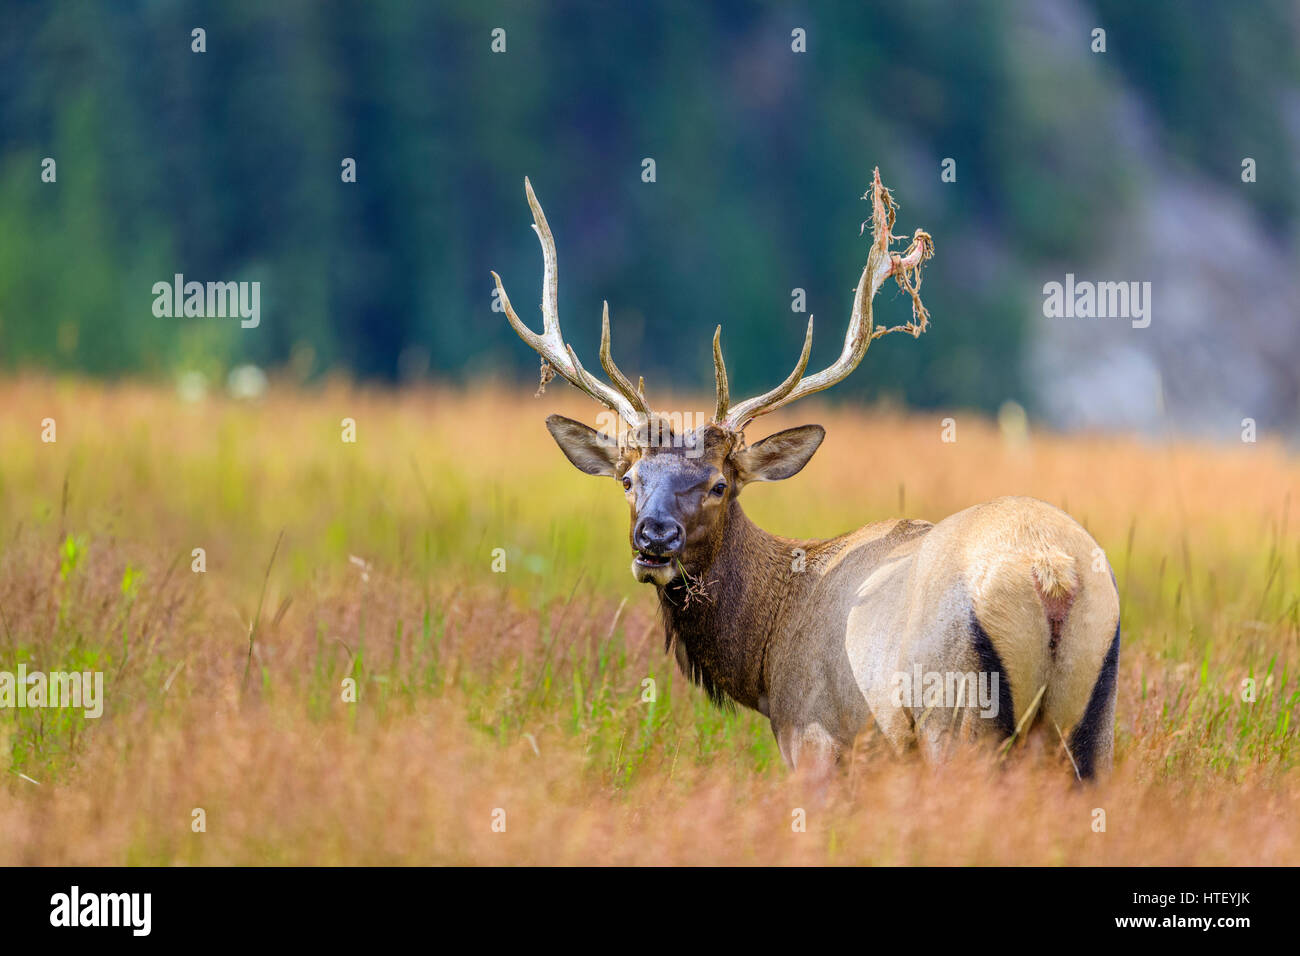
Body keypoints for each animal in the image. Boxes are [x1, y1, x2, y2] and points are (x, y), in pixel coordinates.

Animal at [491, 170, 1120, 780]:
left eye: (720, 485)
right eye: (629, 480)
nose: (655, 537)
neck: (765, 659)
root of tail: (1051, 574)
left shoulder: (815, 734)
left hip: (955, 715)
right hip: (1092, 722)